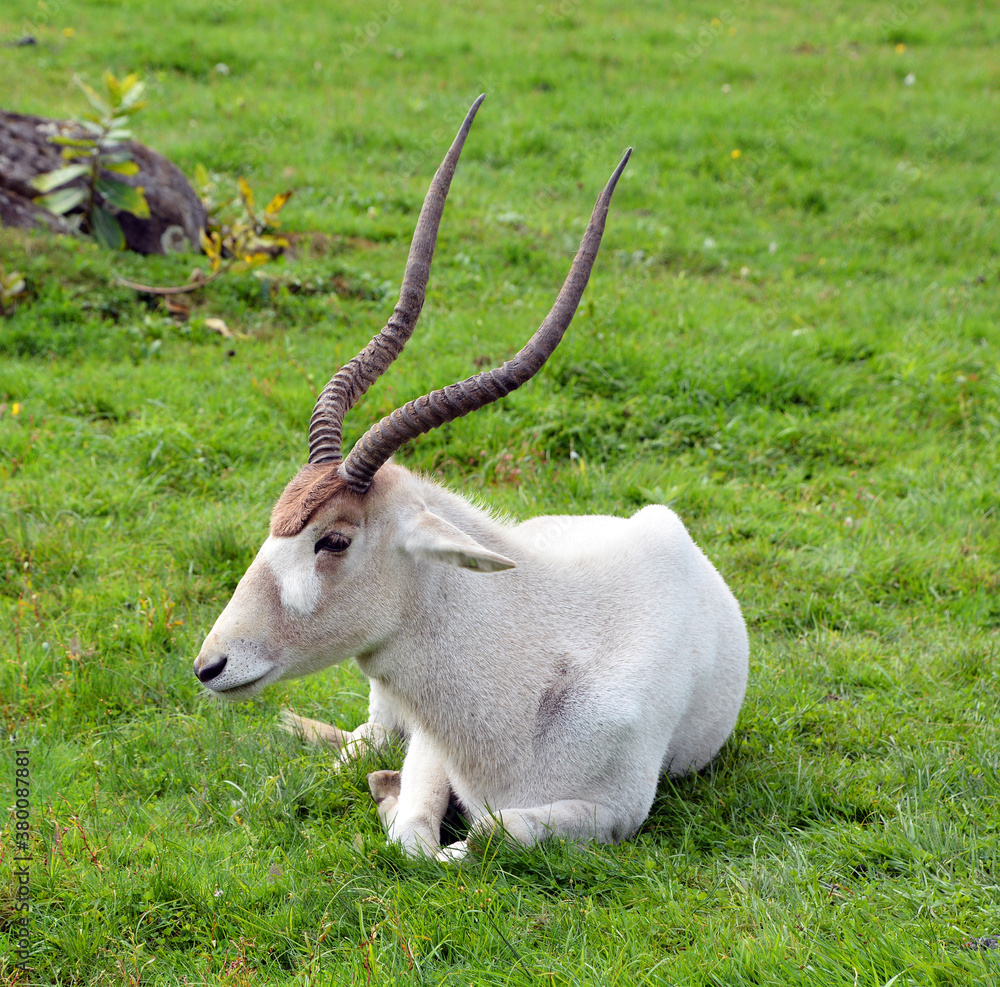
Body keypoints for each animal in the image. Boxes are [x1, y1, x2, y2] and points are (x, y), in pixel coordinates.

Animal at [193, 96, 749, 860]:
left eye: (334, 540)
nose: (210, 666)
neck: (532, 654)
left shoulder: (616, 812)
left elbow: (484, 833)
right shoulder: (430, 744)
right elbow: (414, 834)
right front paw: (388, 796)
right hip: (383, 720)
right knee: (359, 744)